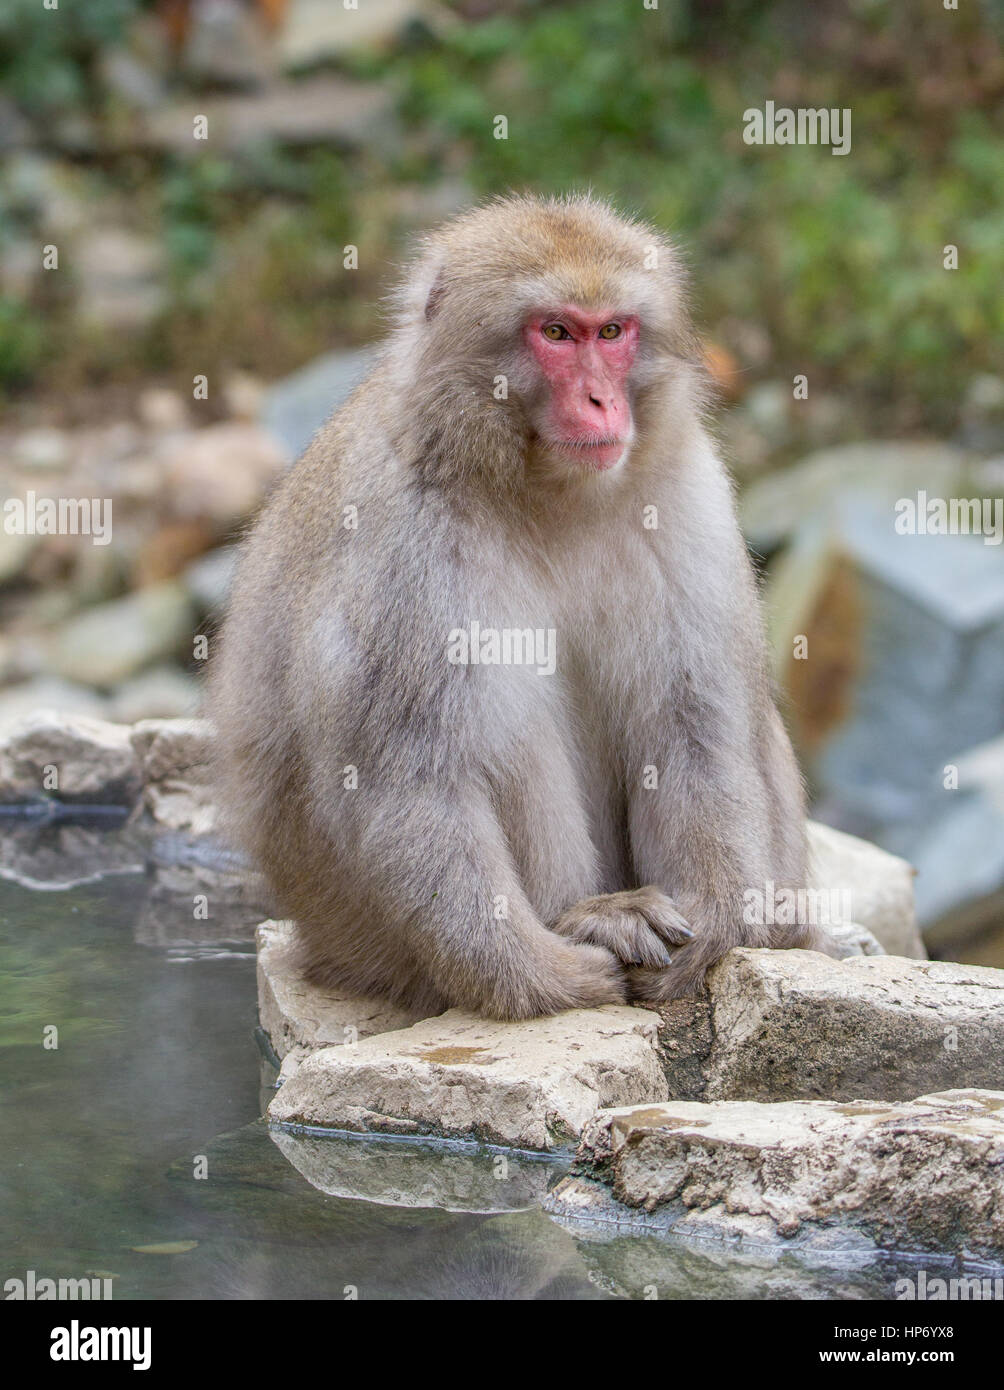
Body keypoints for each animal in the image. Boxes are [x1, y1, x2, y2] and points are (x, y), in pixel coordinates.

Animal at [211, 193, 819, 1021]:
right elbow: (409, 777)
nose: (601, 401)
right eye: (556, 333)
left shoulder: (685, 496)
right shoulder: (404, 534)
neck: (545, 492)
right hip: (365, 944)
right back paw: (591, 916)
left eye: (613, 332)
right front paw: (539, 976)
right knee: (505, 716)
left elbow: (696, 725)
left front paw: (715, 924)